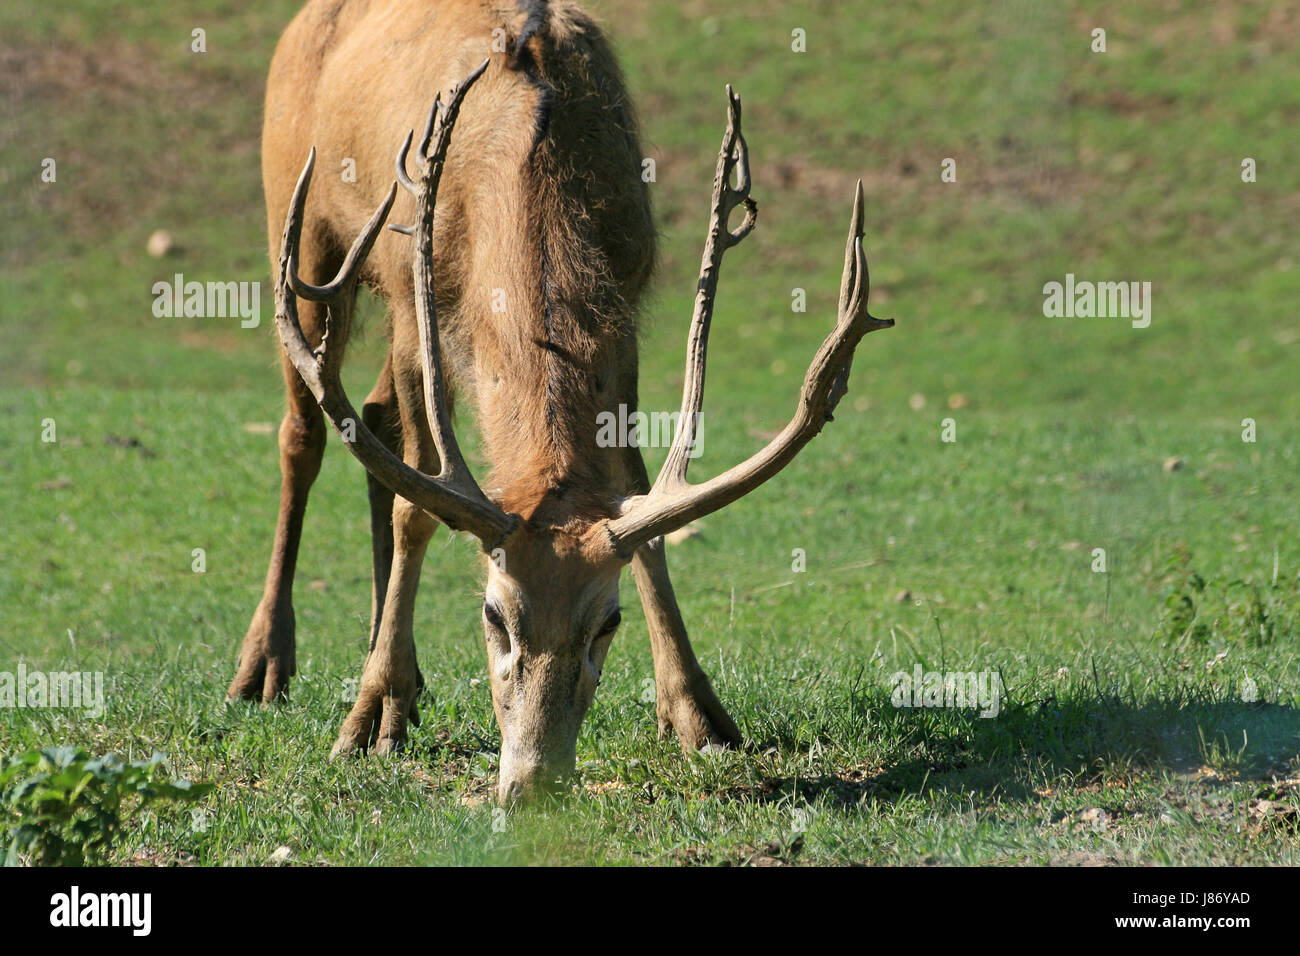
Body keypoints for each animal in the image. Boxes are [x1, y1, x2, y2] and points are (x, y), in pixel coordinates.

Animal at [227, 0, 893, 804]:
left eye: (607, 624)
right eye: (493, 616)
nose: (533, 784)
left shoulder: (624, 314)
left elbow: (636, 493)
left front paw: (697, 715)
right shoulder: (422, 308)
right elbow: (417, 508)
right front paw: (368, 716)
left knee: (376, 416)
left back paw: (401, 668)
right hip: (301, 220)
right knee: (306, 433)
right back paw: (267, 665)